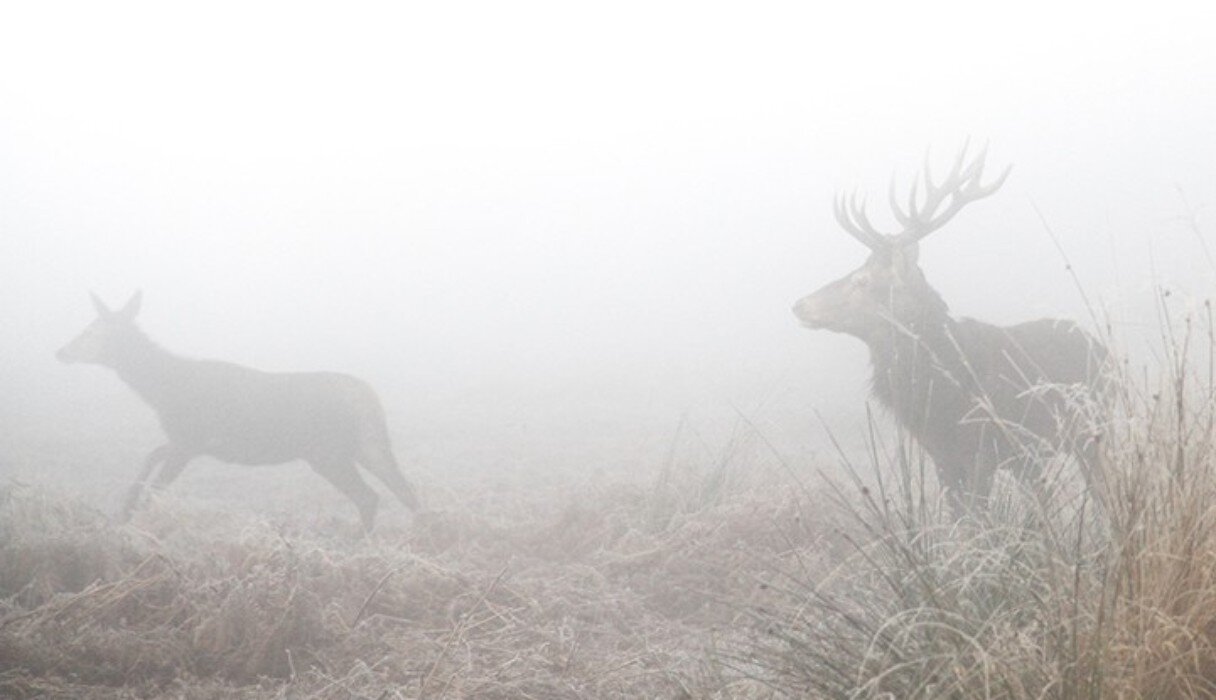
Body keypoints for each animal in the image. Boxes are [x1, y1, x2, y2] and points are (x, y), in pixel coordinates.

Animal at [56, 292, 420, 531]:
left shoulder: (190, 440)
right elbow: (150, 457)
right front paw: (124, 508)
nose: (61, 351)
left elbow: (157, 487)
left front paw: (133, 521)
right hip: (363, 444)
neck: (163, 390)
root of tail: (369, 398)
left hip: (326, 452)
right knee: (403, 490)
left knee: (370, 496)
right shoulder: (184, 441)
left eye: (91, 331)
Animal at [793, 145, 1108, 509]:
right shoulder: (942, 456)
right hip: (1033, 456)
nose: (800, 305)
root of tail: (1106, 352)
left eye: (863, 280)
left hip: (1091, 430)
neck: (939, 393)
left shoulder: (981, 449)